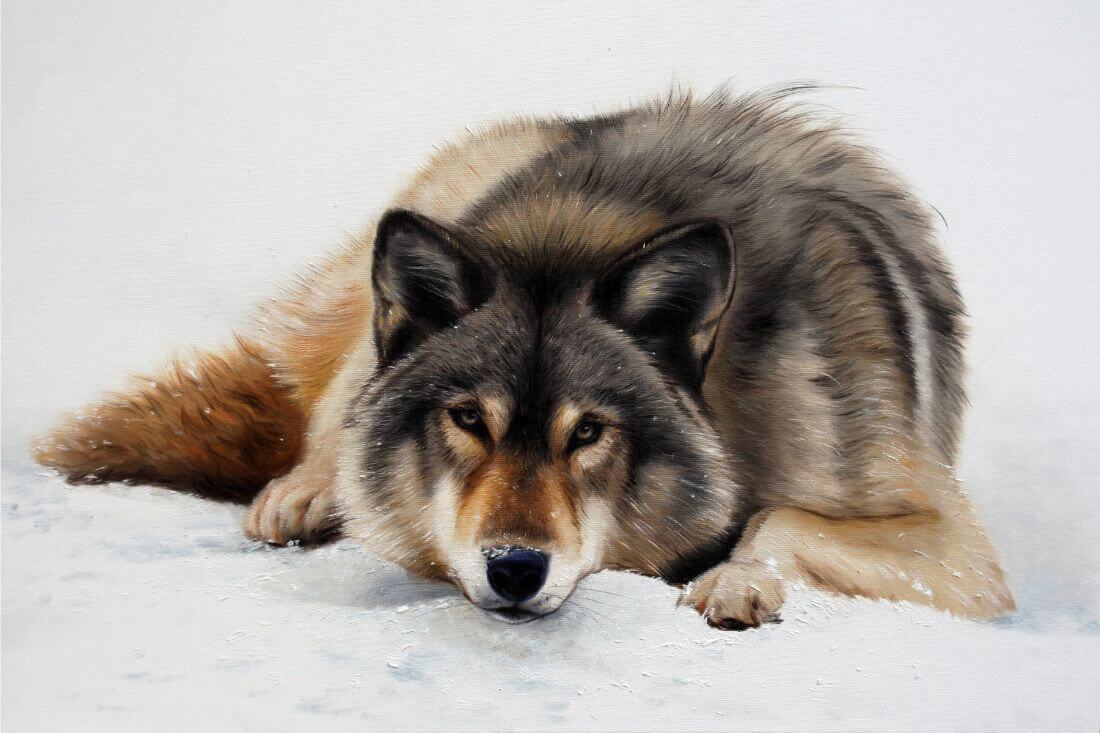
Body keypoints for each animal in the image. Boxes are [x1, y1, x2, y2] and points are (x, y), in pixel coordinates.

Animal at [34, 89, 1015, 628]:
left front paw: (737, 577)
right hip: (436, 199)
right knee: (335, 401)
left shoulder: (956, 546)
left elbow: (779, 520)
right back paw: (305, 490)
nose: (514, 568)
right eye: (469, 420)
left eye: (589, 434)